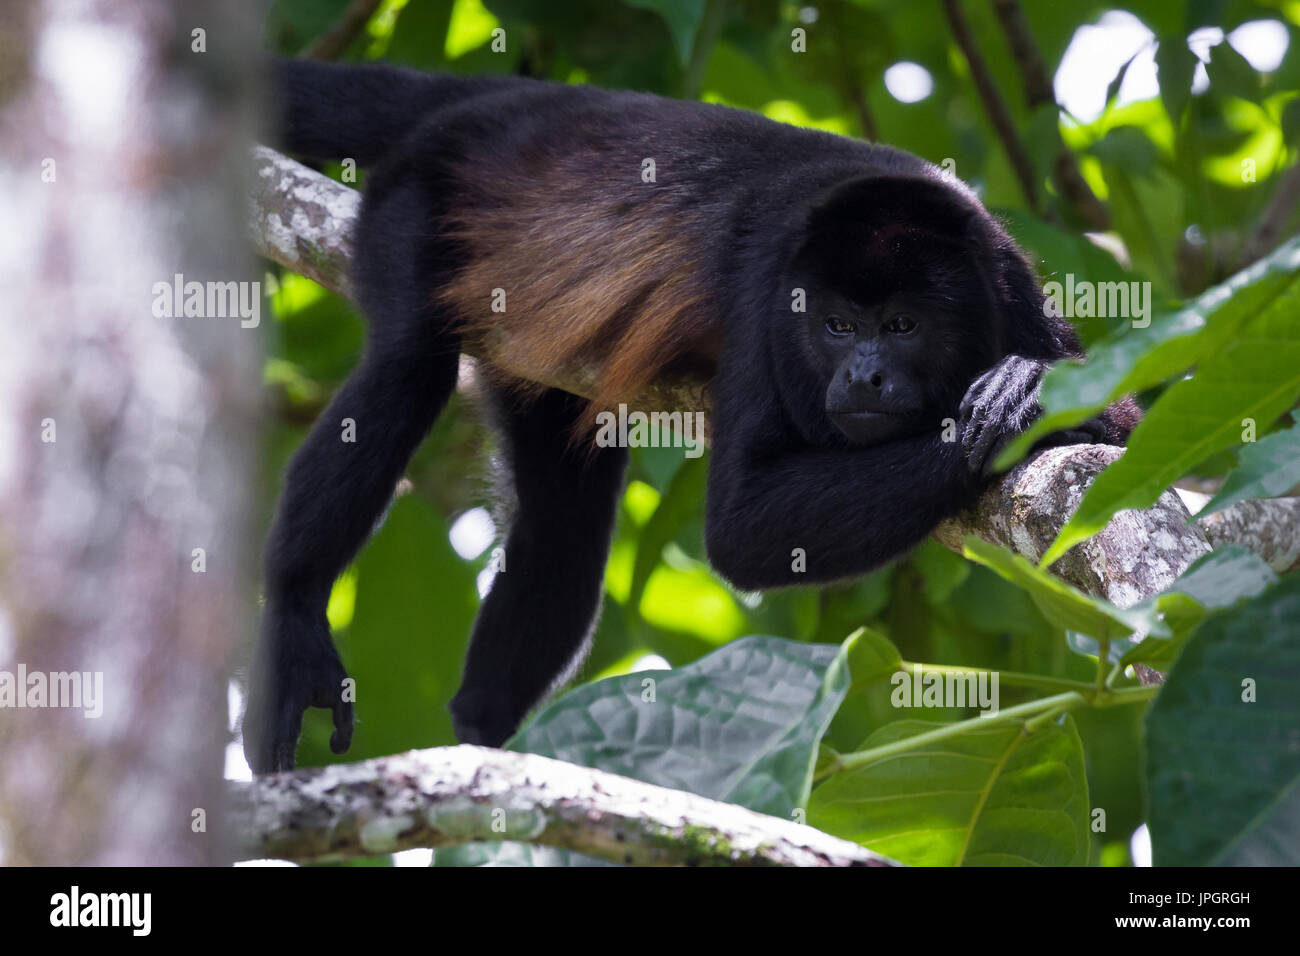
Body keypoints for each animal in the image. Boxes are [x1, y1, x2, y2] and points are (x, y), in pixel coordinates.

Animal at [241, 59, 1139, 773]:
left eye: (903, 325)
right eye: (835, 325)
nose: (864, 374)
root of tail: (512, 99)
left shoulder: (1011, 284)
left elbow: (1132, 436)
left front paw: (1041, 395)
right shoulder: (768, 298)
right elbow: (743, 526)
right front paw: (1022, 411)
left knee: (561, 525)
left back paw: (487, 735)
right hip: (417, 196)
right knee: (406, 366)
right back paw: (295, 607)